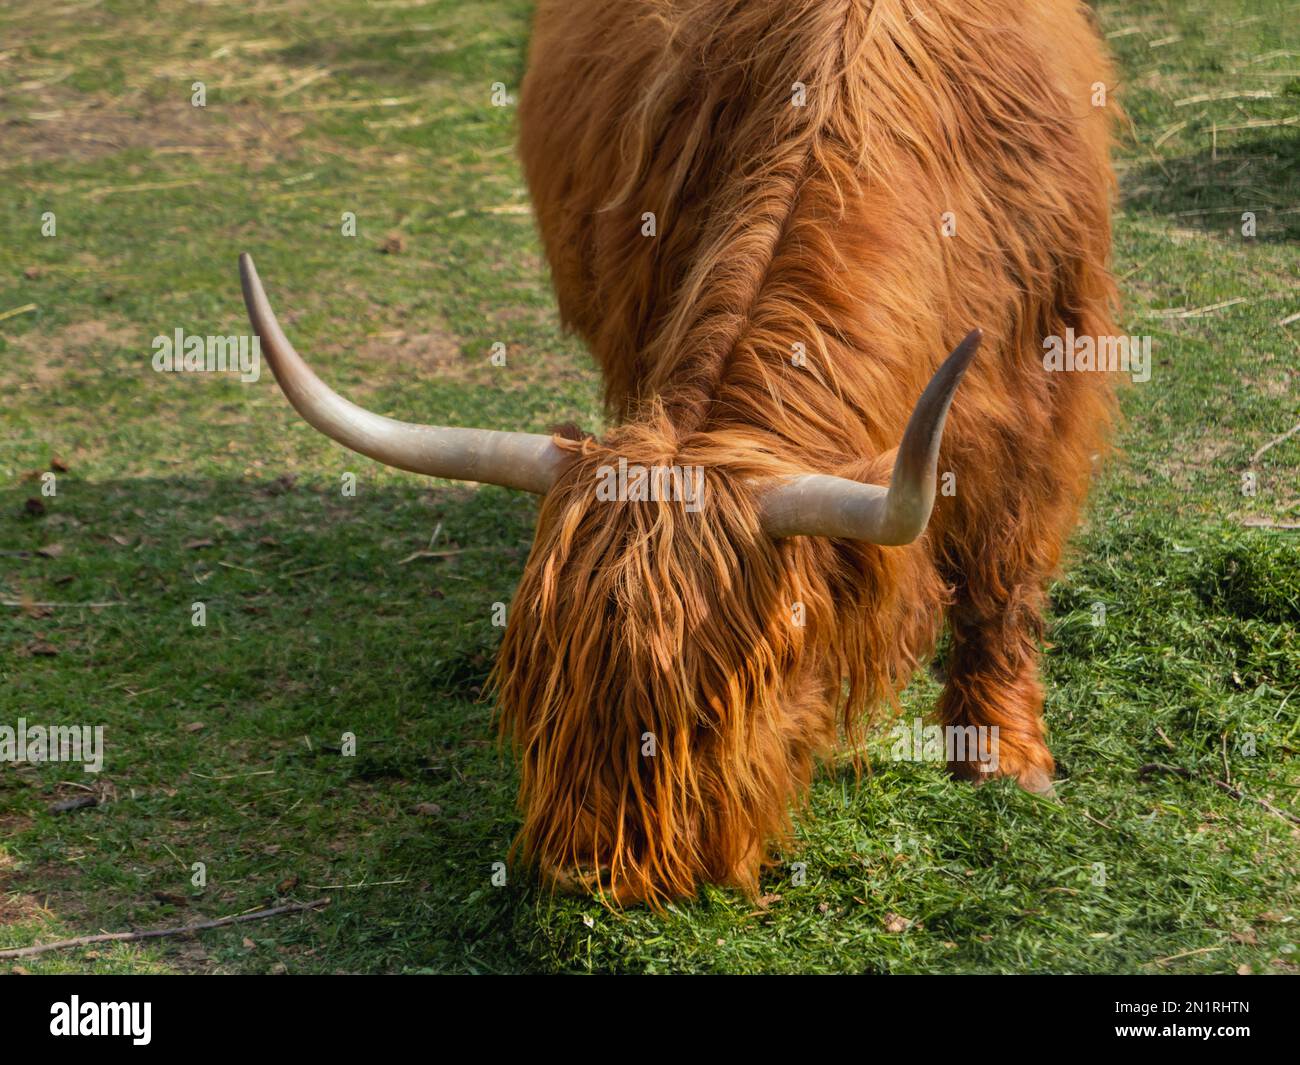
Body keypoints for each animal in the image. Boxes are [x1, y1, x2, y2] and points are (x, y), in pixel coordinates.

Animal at [237, 0, 1119, 906]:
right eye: (533, 687)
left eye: (707, 705)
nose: (588, 868)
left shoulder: (1043, 388)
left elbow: (1003, 574)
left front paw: (1003, 755)